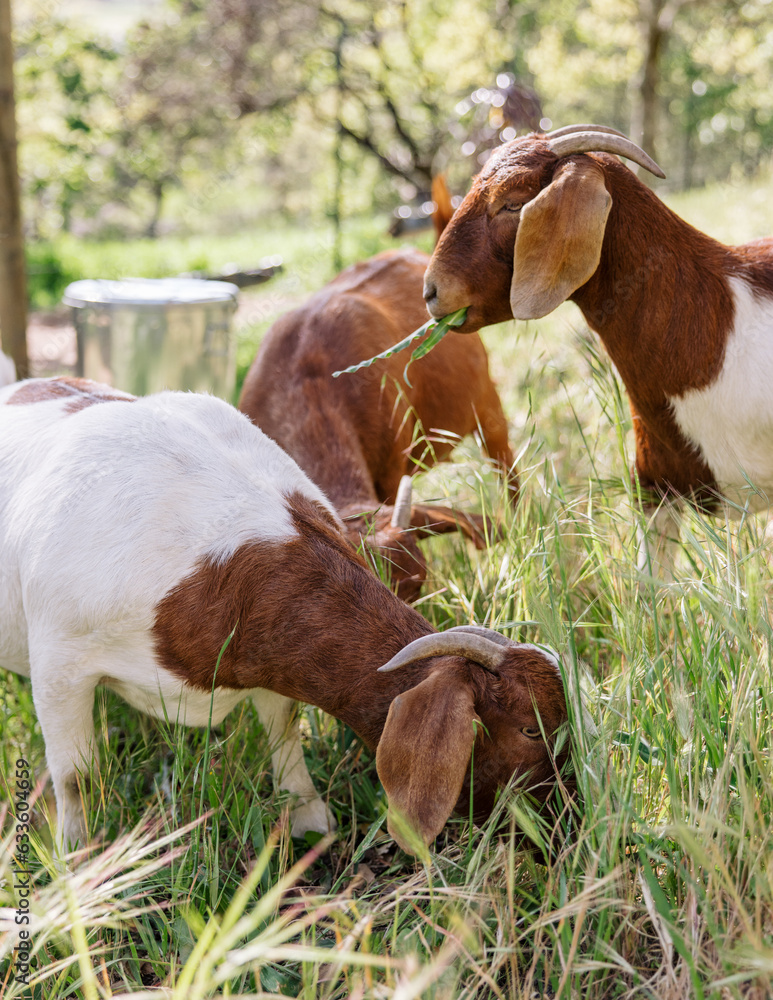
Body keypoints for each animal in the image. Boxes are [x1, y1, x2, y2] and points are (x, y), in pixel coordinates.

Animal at [0, 376, 567, 855]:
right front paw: (79, 862)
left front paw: (309, 819)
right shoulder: (60, 666)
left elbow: (285, 727)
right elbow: (77, 777)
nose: (562, 822)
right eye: (529, 730)